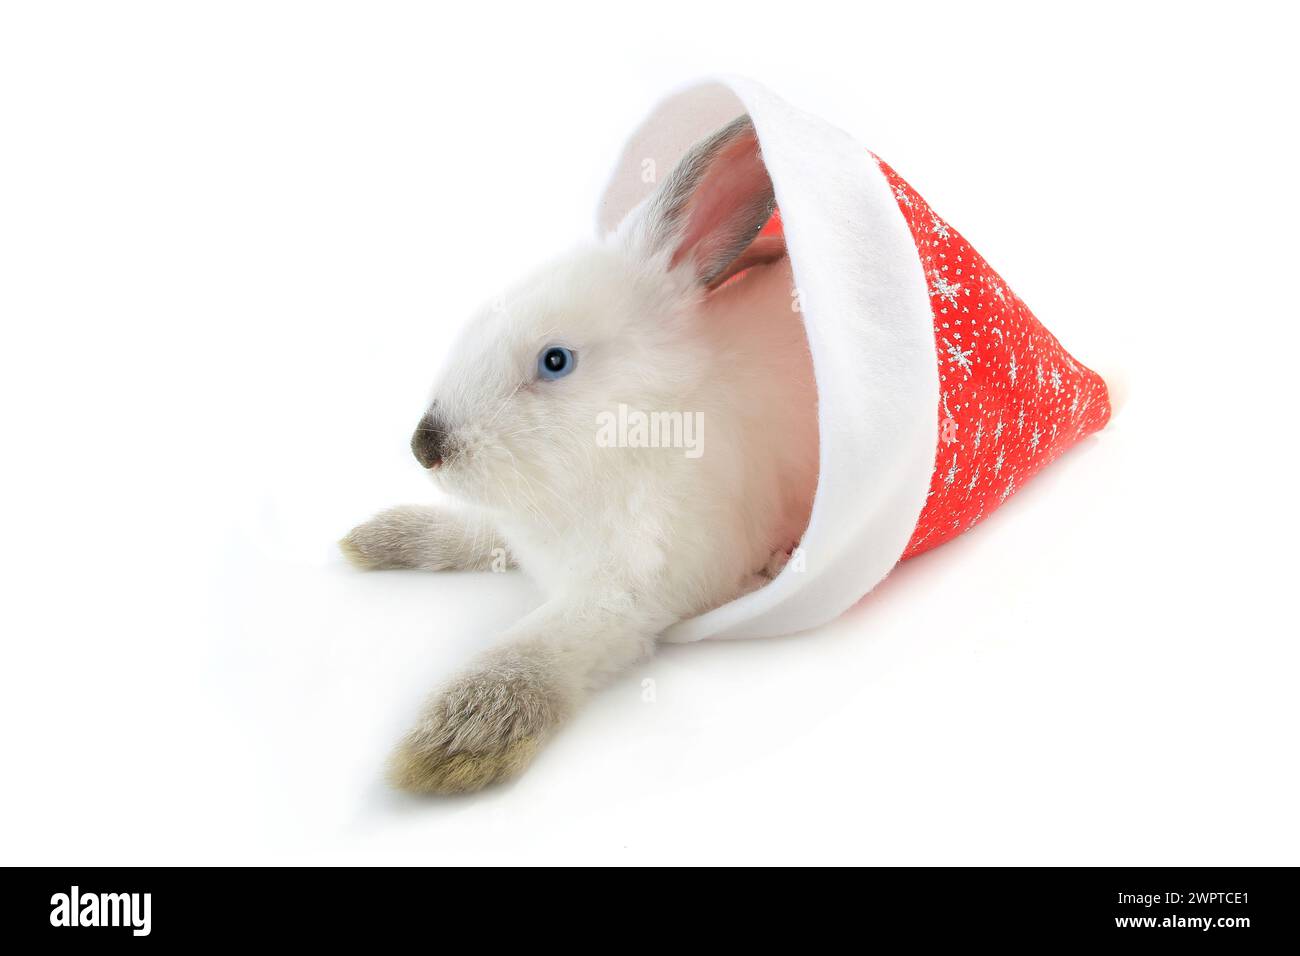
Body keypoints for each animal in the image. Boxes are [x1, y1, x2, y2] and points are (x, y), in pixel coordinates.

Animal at [341, 115, 818, 793]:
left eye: (555, 360)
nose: (425, 446)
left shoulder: (624, 597)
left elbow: (531, 651)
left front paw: (453, 744)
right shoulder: (508, 526)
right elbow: (467, 534)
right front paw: (382, 537)